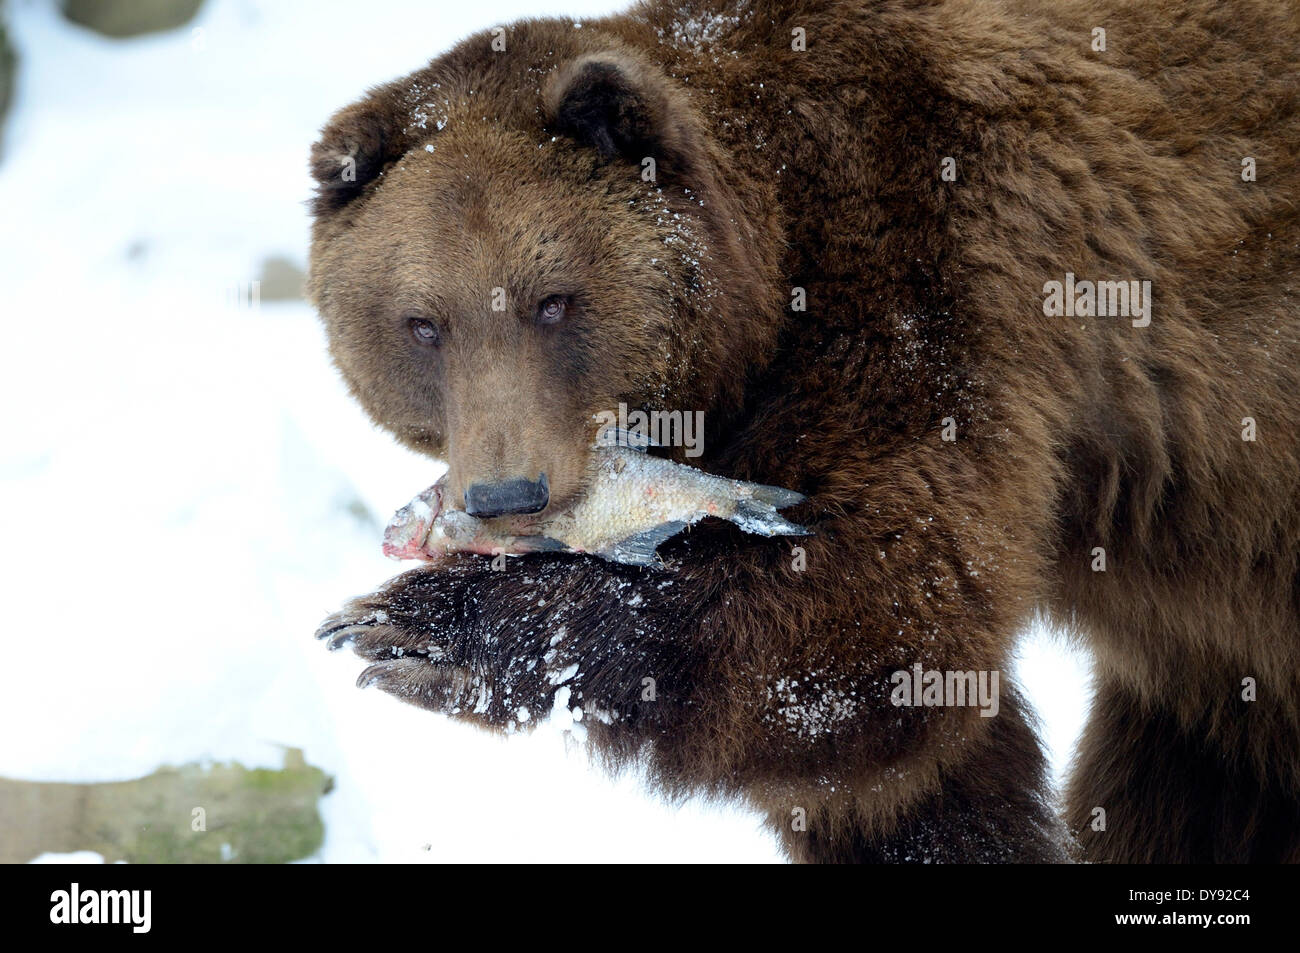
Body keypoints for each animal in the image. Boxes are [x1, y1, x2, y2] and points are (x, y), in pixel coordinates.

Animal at [308, 0, 1300, 863]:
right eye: (422, 323)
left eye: (554, 300)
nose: (504, 493)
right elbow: (892, 773)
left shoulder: (929, 284)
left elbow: (881, 613)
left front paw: (416, 626)